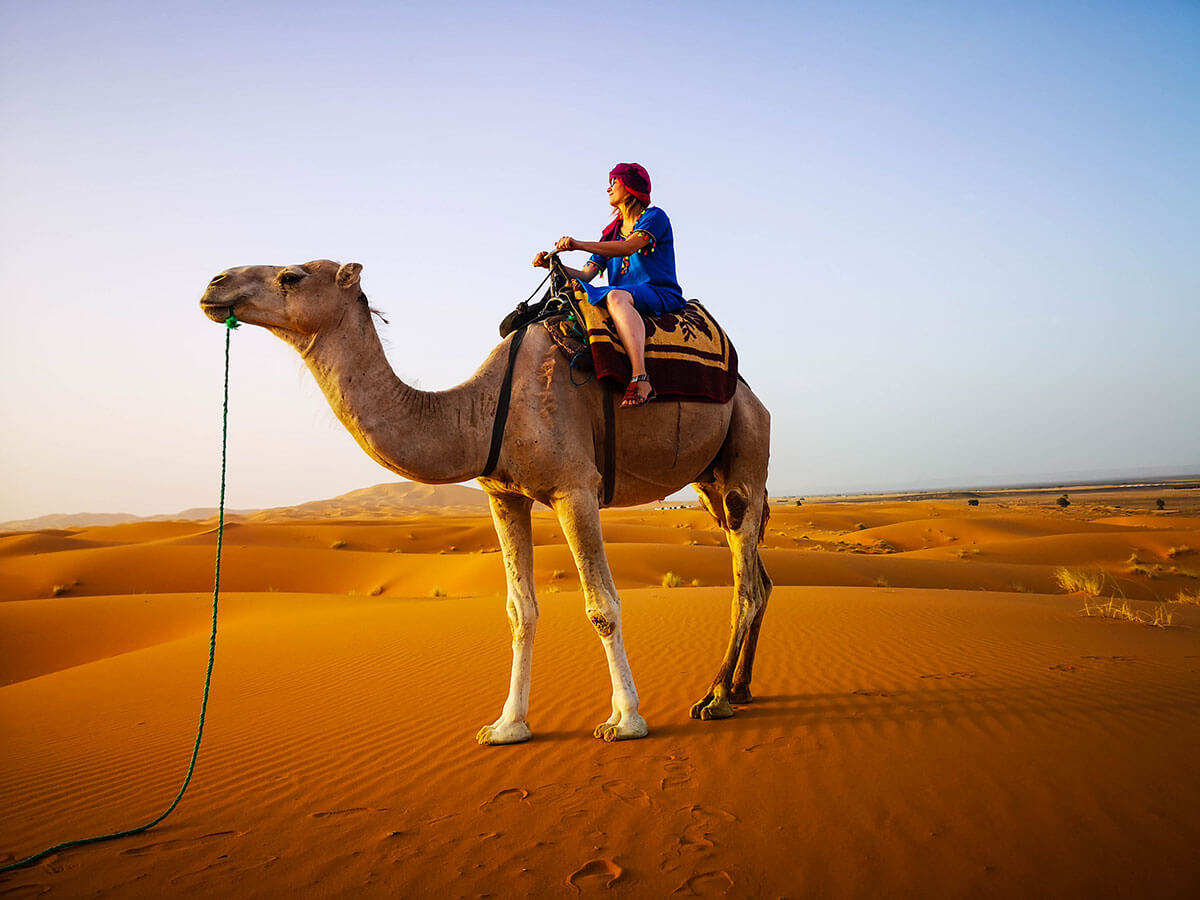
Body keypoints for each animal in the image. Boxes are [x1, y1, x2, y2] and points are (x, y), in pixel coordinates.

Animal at [199, 259, 772, 744]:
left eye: (291, 276)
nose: (214, 284)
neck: (480, 410)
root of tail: (752, 394)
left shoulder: (575, 487)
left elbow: (602, 606)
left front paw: (626, 721)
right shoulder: (504, 496)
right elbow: (520, 610)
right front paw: (507, 726)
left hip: (746, 450)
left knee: (744, 585)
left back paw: (716, 698)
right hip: (708, 482)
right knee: (757, 578)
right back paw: (740, 689)